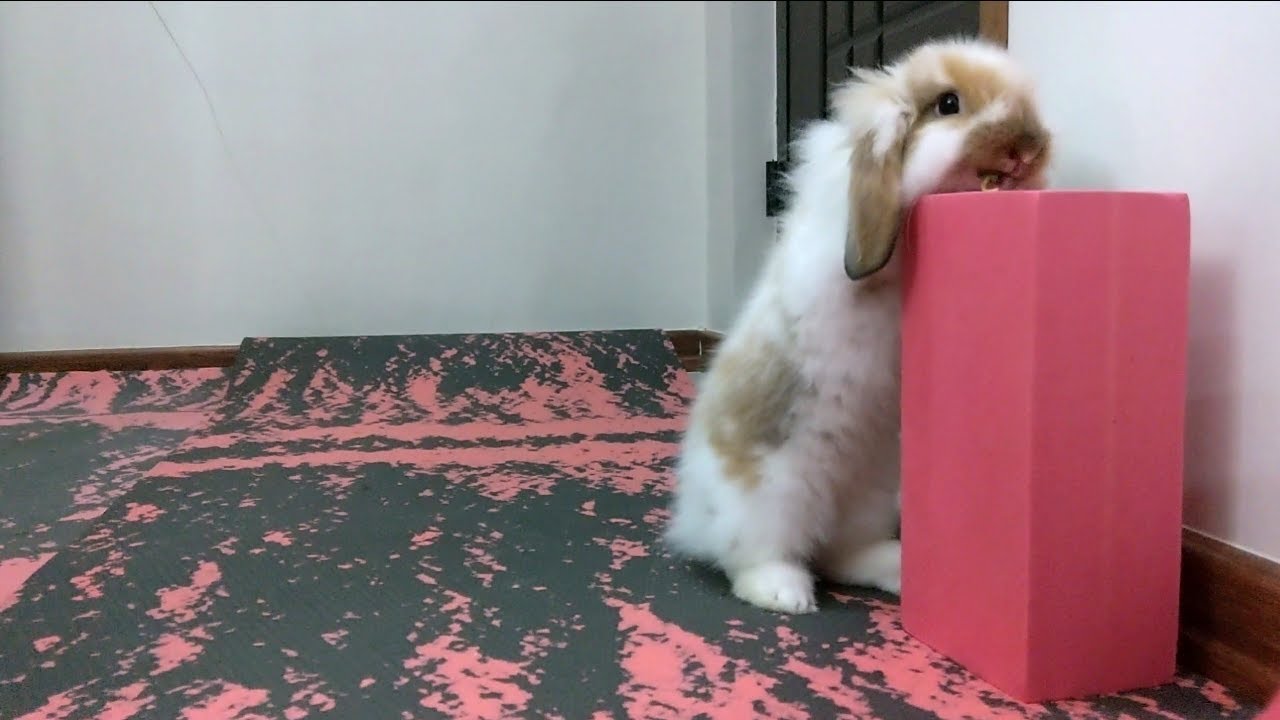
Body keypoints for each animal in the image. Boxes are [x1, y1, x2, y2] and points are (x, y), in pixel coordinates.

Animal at [663, 36, 1053, 614]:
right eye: (949, 105)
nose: (1026, 149)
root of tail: (694, 514)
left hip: (870, 493)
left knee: (840, 553)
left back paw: (892, 567)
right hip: (771, 491)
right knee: (756, 551)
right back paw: (784, 593)